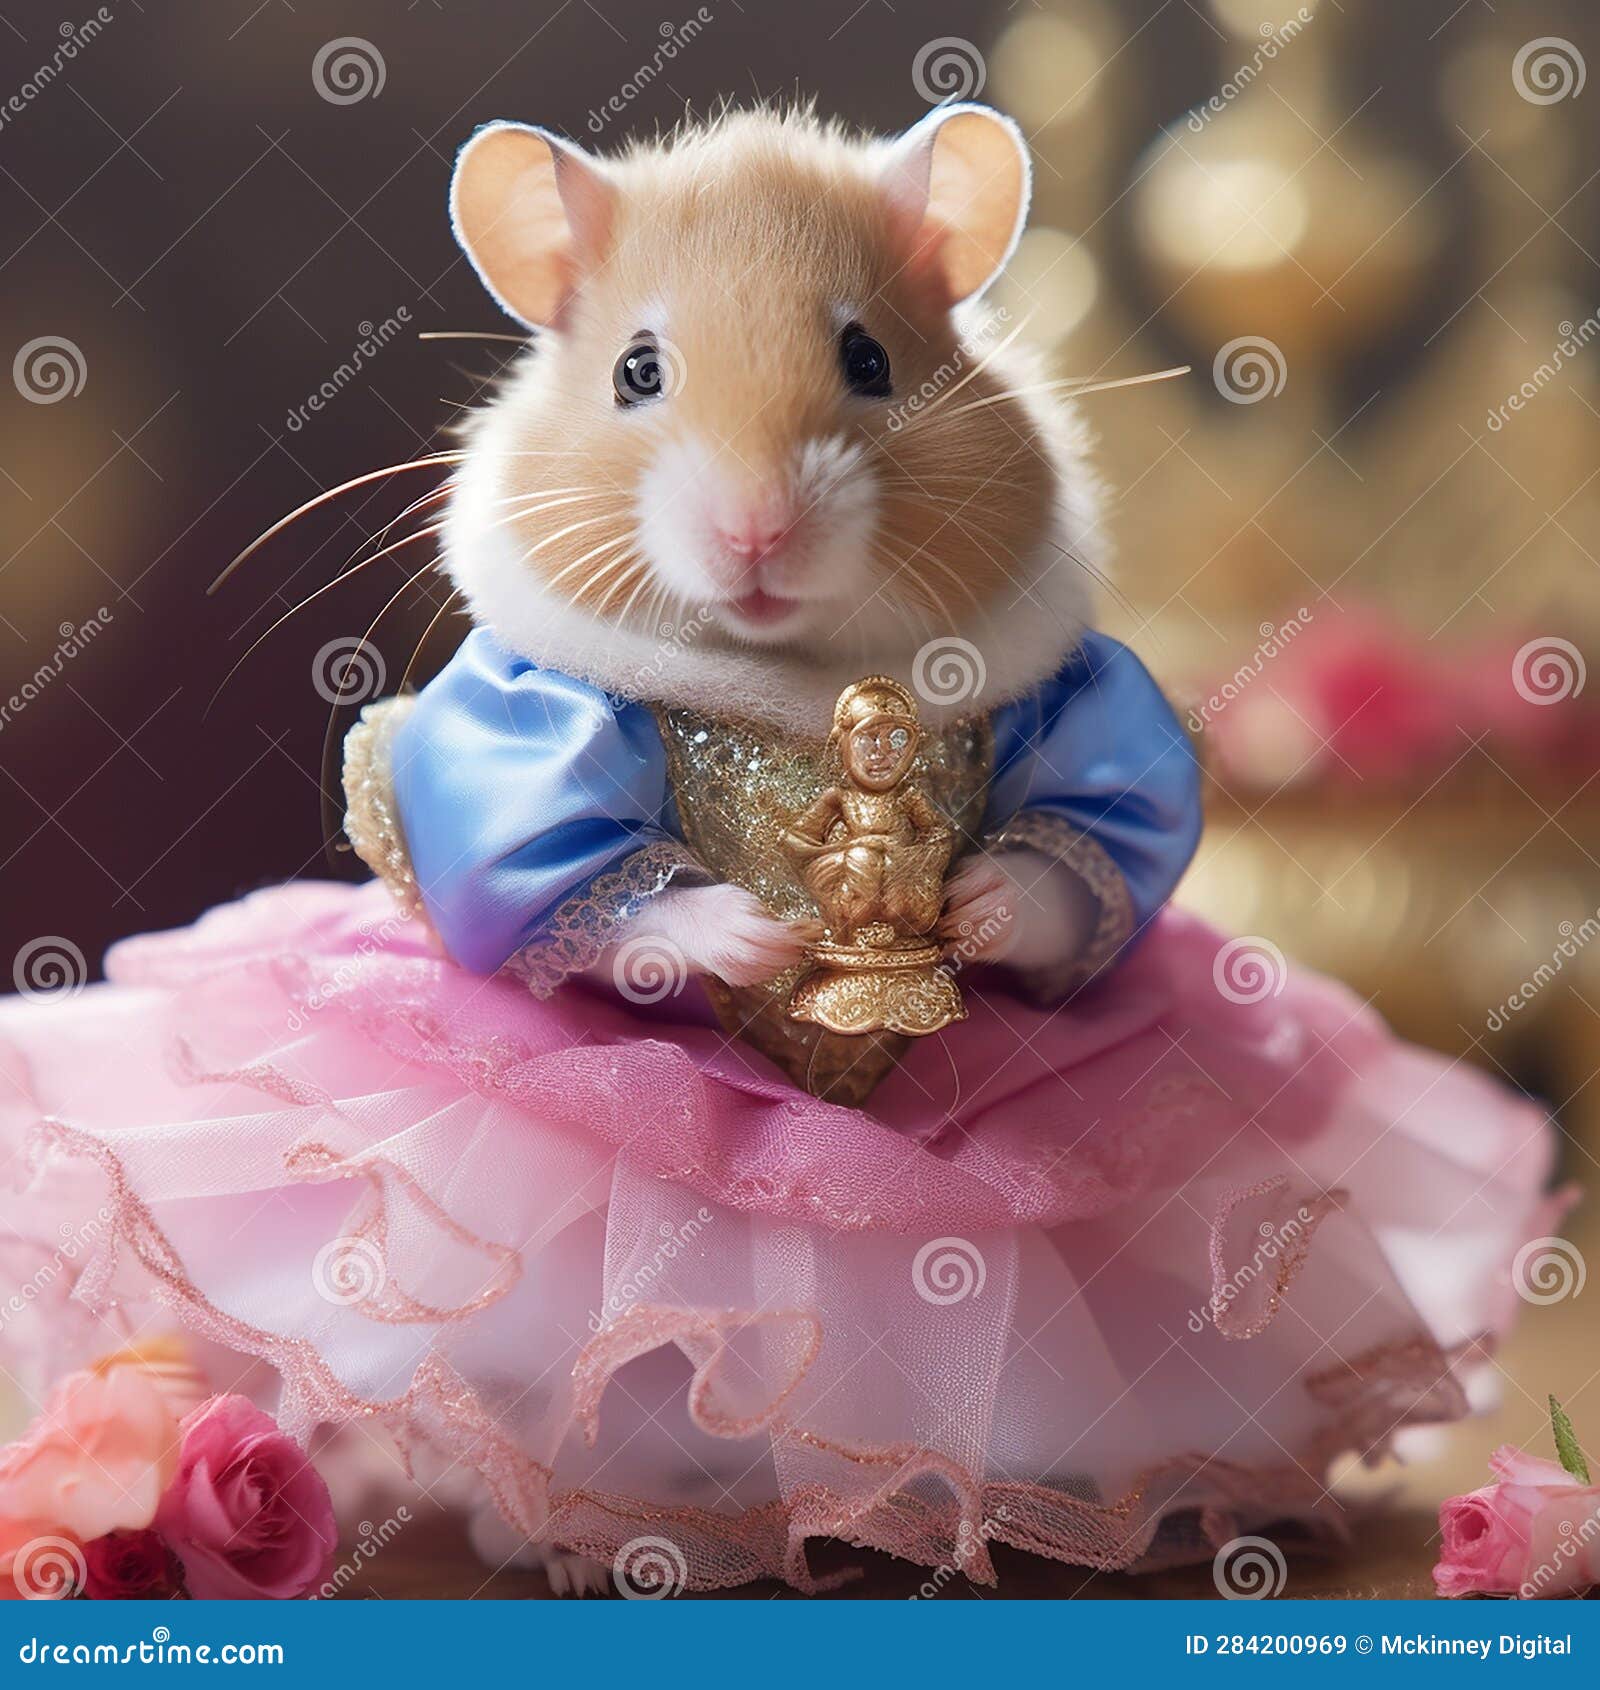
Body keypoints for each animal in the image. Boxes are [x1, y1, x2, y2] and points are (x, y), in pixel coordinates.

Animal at [442, 105, 1105, 1003]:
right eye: (636, 370)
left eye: (869, 359)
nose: (756, 533)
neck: (788, 663)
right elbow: (595, 903)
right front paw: (760, 937)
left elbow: (1076, 856)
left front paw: (972, 901)